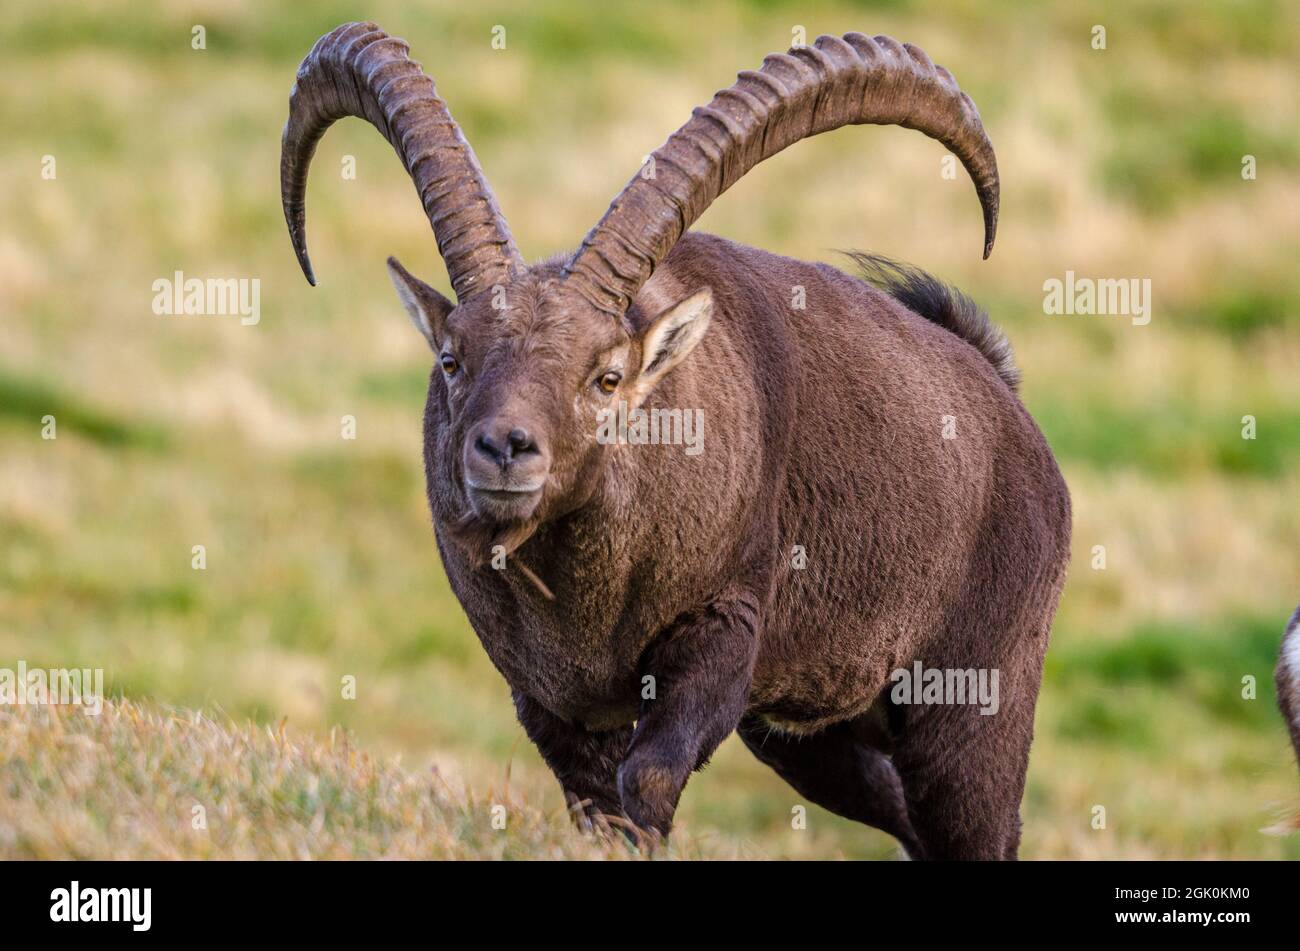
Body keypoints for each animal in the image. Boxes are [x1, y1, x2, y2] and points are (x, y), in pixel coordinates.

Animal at [280, 22, 1072, 859]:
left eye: (608, 376)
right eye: (452, 358)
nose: (503, 449)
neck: (584, 600)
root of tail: (1008, 402)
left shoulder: (720, 633)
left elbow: (651, 777)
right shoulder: (544, 694)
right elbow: (594, 801)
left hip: (970, 697)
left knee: (977, 824)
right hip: (816, 732)